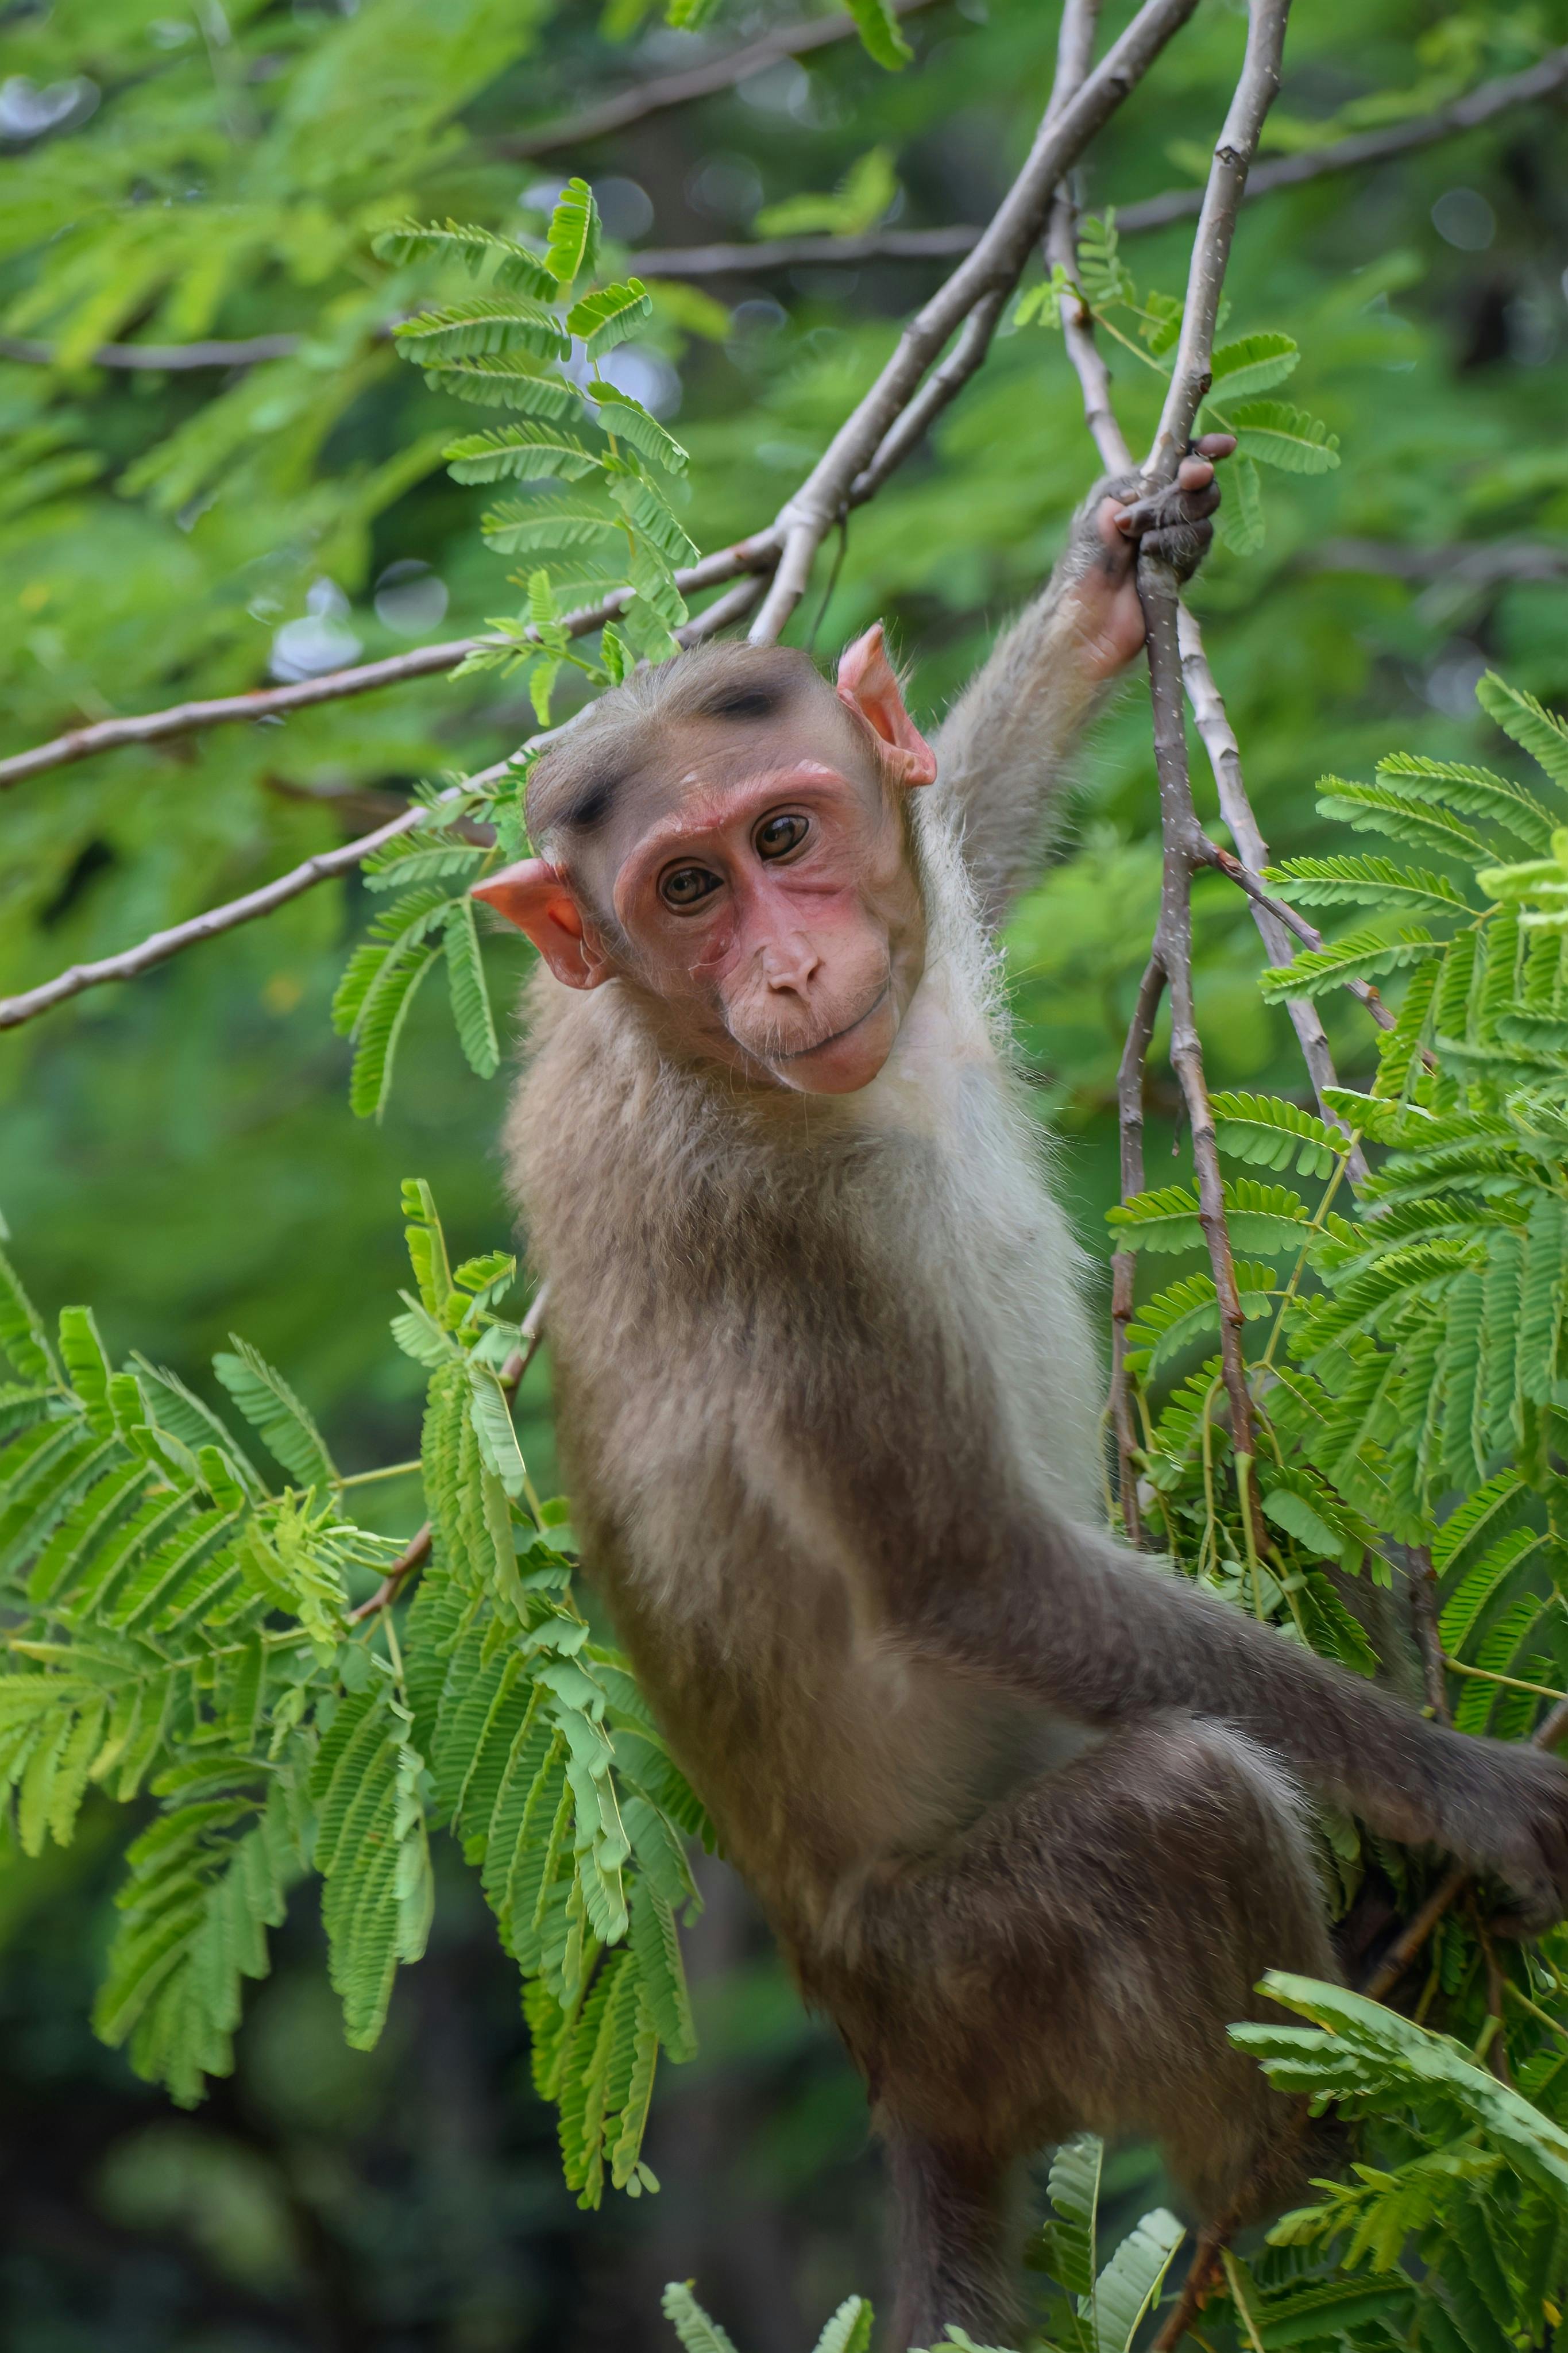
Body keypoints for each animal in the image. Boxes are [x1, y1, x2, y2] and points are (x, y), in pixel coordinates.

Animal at [473, 447, 1568, 2349]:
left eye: (779, 840)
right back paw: (1312, 2152)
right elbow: (966, 1570)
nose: (785, 971)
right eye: (684, 892)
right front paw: (1463, 1786)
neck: (712, 1061)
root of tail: (887, 2058)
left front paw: (1104, 588)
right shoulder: (772, 1248)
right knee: (1176, 1799)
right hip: (981, 1975)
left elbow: (962, 832)